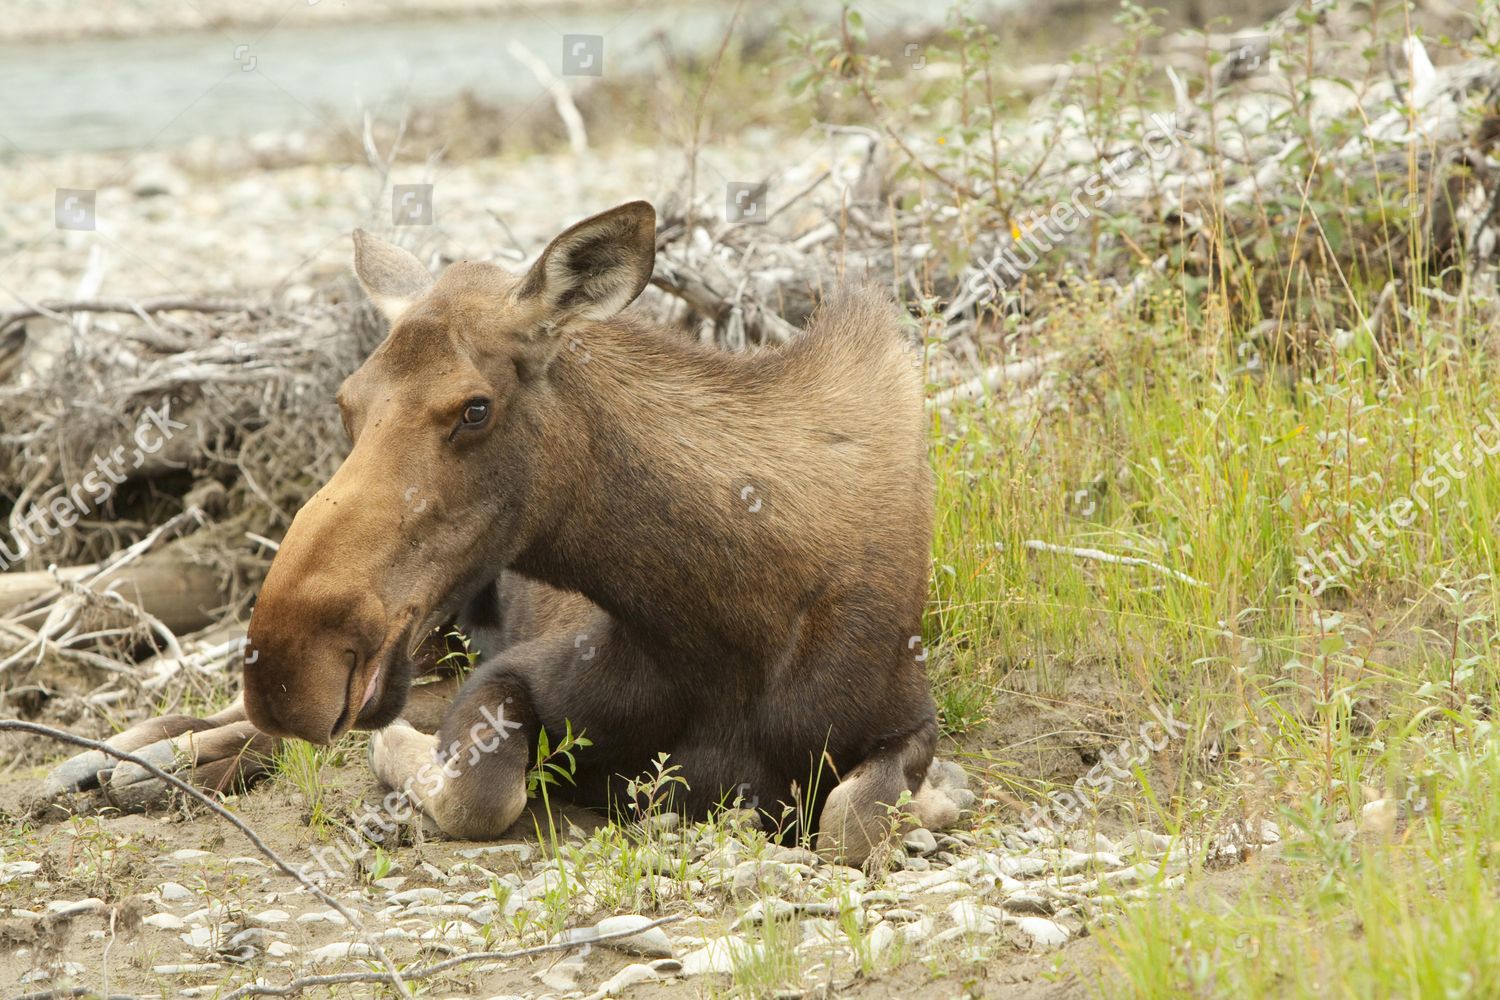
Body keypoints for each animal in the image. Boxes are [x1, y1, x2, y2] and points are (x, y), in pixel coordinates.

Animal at [45, 201, 970, 864]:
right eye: (347, 404)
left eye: (475, 409)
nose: (287, 662)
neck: (727, 621)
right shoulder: (512, 678)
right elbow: (479, 790)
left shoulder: (906, 716)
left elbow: (853, 820)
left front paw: (937, 795)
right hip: (437, 641)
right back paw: (121, 759)